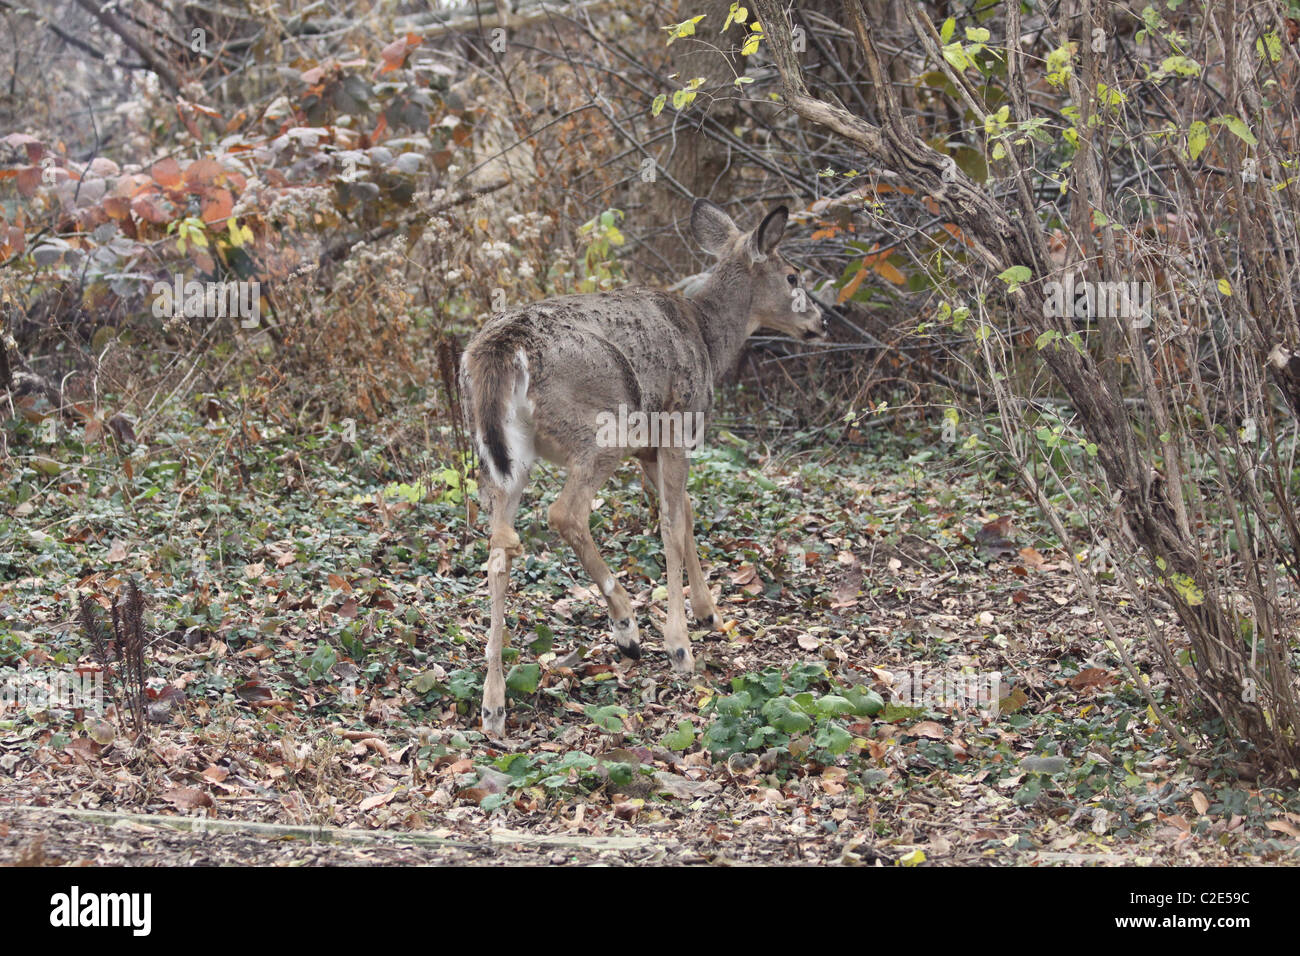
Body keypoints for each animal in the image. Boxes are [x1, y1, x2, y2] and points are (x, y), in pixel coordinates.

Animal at [460, 199, 827, 735]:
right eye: (794, 275)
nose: (820, 323)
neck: (706, 337)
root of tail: (503, 349)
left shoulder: (650, 451)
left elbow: (685, 515)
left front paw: (708, 612)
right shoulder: (677, 425)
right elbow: (672, 524)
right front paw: (680, 644)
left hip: (505, 455)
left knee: (498, 549)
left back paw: (493, 705)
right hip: (601, 428)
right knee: (564, 514)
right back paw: (626, 625)